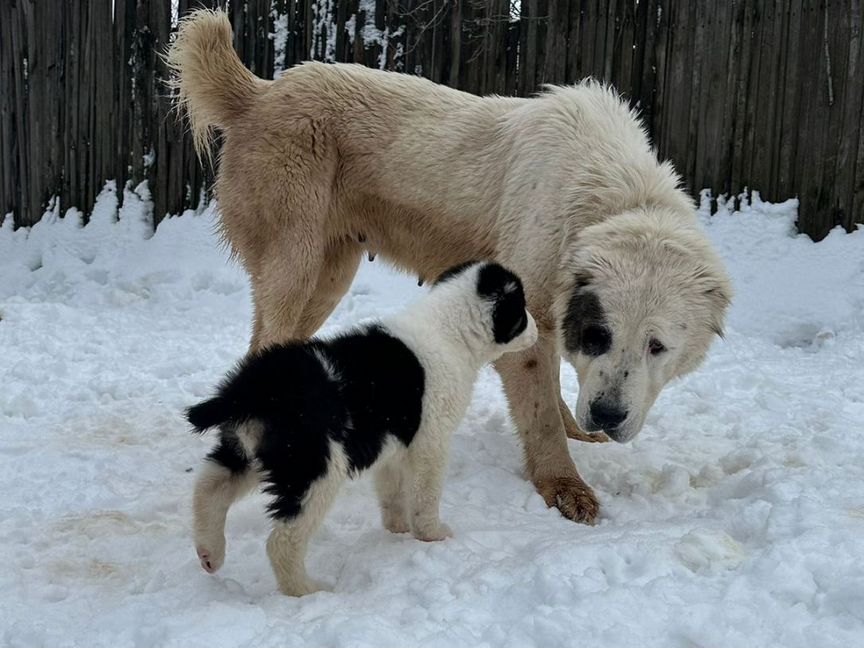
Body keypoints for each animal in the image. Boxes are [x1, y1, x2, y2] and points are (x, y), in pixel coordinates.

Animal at [167, 10, 728, 524]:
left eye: (657, 346)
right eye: (597, 334)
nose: (608, 416)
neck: (615, 197)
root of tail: (261, 92)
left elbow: (554, 398)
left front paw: (576, 429)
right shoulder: (527, 325)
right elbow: (541, 415)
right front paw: (564, 486)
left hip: (328, 274)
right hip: (295, 262)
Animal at [186, 260, 536, 596]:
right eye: (521, 311)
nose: (537, 331)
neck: (449, 330)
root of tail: (249, 391)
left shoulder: (394, 446)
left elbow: (392, 491)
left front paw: (397, 529)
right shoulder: (431, 442)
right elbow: (426, 495)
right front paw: (432, 534)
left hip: (249, 450)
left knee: (209, 487)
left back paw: (209, 553)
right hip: (315, 468)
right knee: (282, 540)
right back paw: (306, 591)